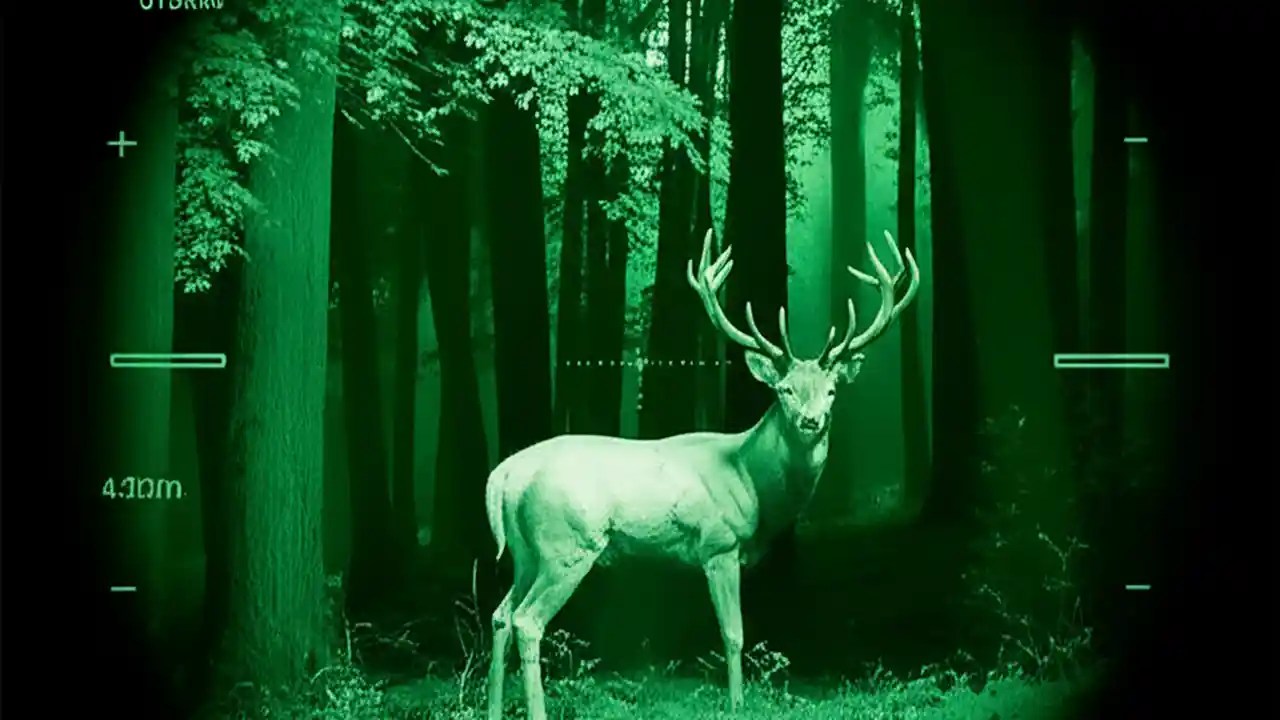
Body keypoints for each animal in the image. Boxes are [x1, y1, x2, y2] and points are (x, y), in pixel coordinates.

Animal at [484, 228, 921, 720]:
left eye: (830, 391)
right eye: (785, 390)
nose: (810, 420)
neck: (751, 479)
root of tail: (503, 476)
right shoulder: (720, 544)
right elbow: (734, 635)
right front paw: (737, 705)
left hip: (526, 552)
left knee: (500, 615)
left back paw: (492, 708)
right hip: (568, 544)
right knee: (527, 620)